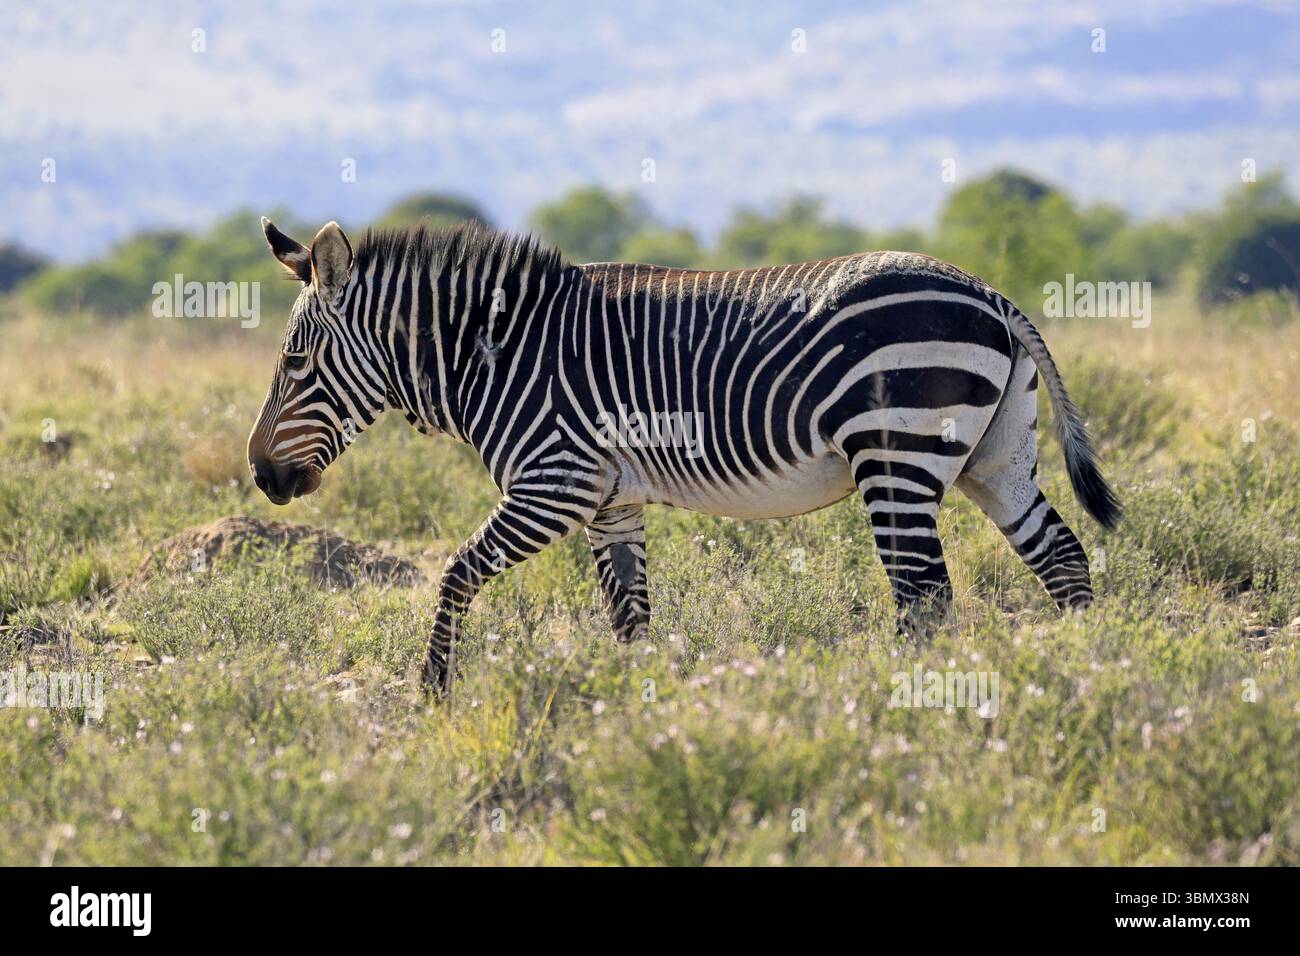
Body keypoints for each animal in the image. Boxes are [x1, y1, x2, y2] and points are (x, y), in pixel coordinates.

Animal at [247, 217, 1120, 693]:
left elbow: (456, 573)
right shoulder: (611, 499)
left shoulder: (556, 483)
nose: (260, 475)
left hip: (897, 454)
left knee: (925, 595)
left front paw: (432, 693)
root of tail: (989, 293)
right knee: (1061, 558)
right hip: (995, 458)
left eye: (294, 363)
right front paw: (640, 714)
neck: (500, 354)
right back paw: (1085, 674)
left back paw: (903, 705)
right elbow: (630, 616)